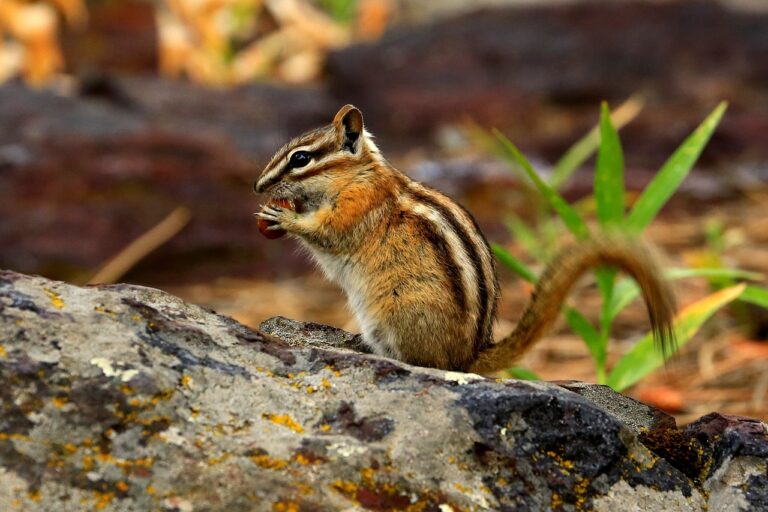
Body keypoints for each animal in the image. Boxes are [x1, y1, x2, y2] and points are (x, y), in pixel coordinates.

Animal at [254, 104, 676, 375]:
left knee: (424, 363)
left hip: (399, 312)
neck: (358, 175)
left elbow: (328, 233)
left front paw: (283, 217)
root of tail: (468, 357)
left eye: (300, 159)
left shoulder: (358, 208)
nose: (258, 186)